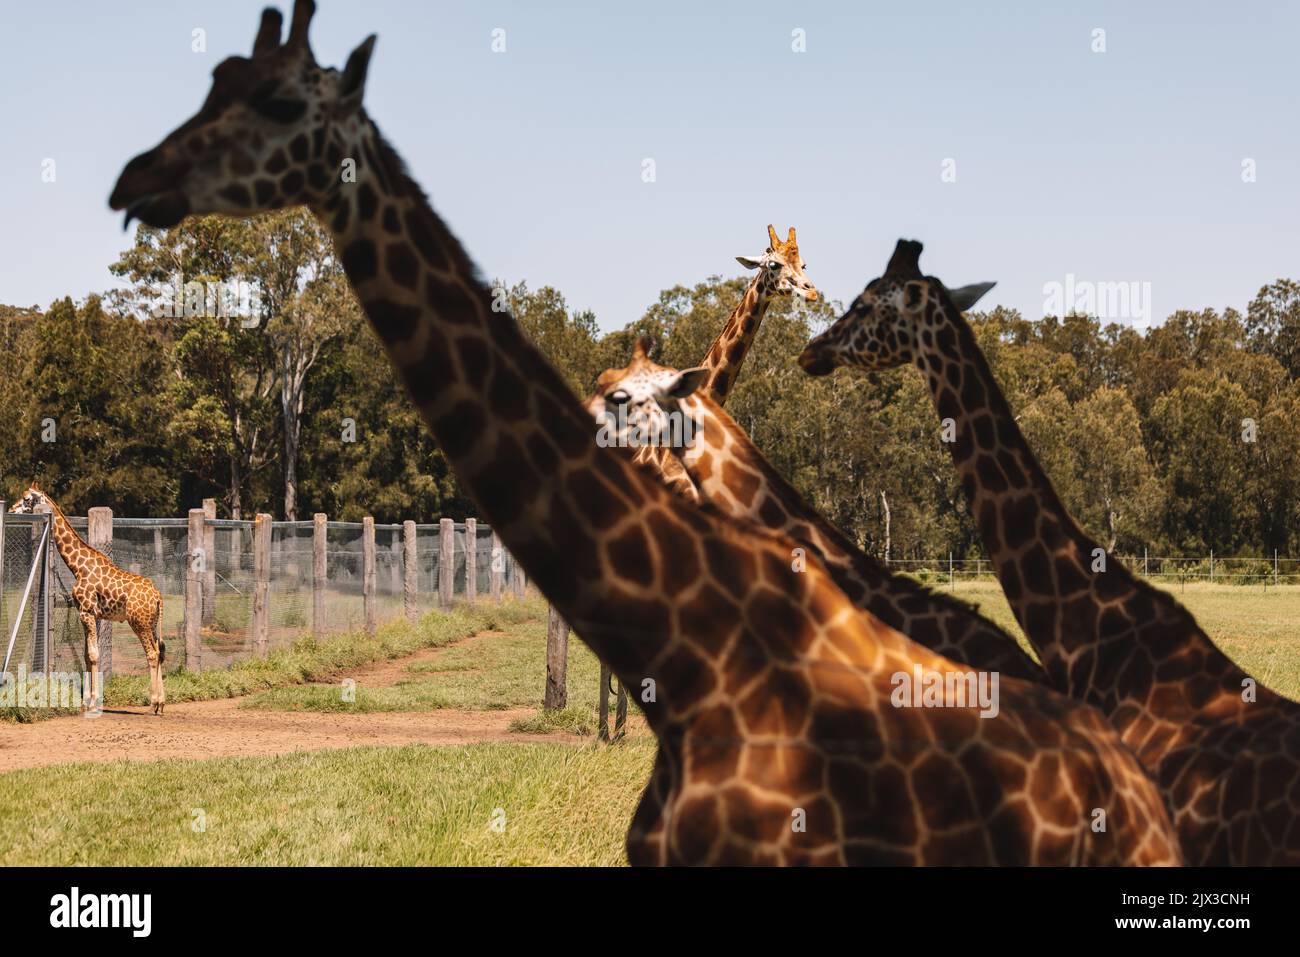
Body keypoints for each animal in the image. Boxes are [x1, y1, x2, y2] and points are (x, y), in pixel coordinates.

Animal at [8, 484, 165, 714]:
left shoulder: (86, 611)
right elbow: (87, 655)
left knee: (152, 654)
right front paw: (86, 700)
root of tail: (158, 596)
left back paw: (154, 702)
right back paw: (162, 703)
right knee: (160, 652)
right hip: (152, 623)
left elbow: (93, 655)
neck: (77, 567)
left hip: (139, 622)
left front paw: (93, 702)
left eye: (27, 499)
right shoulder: (93, 615)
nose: (11, 509)